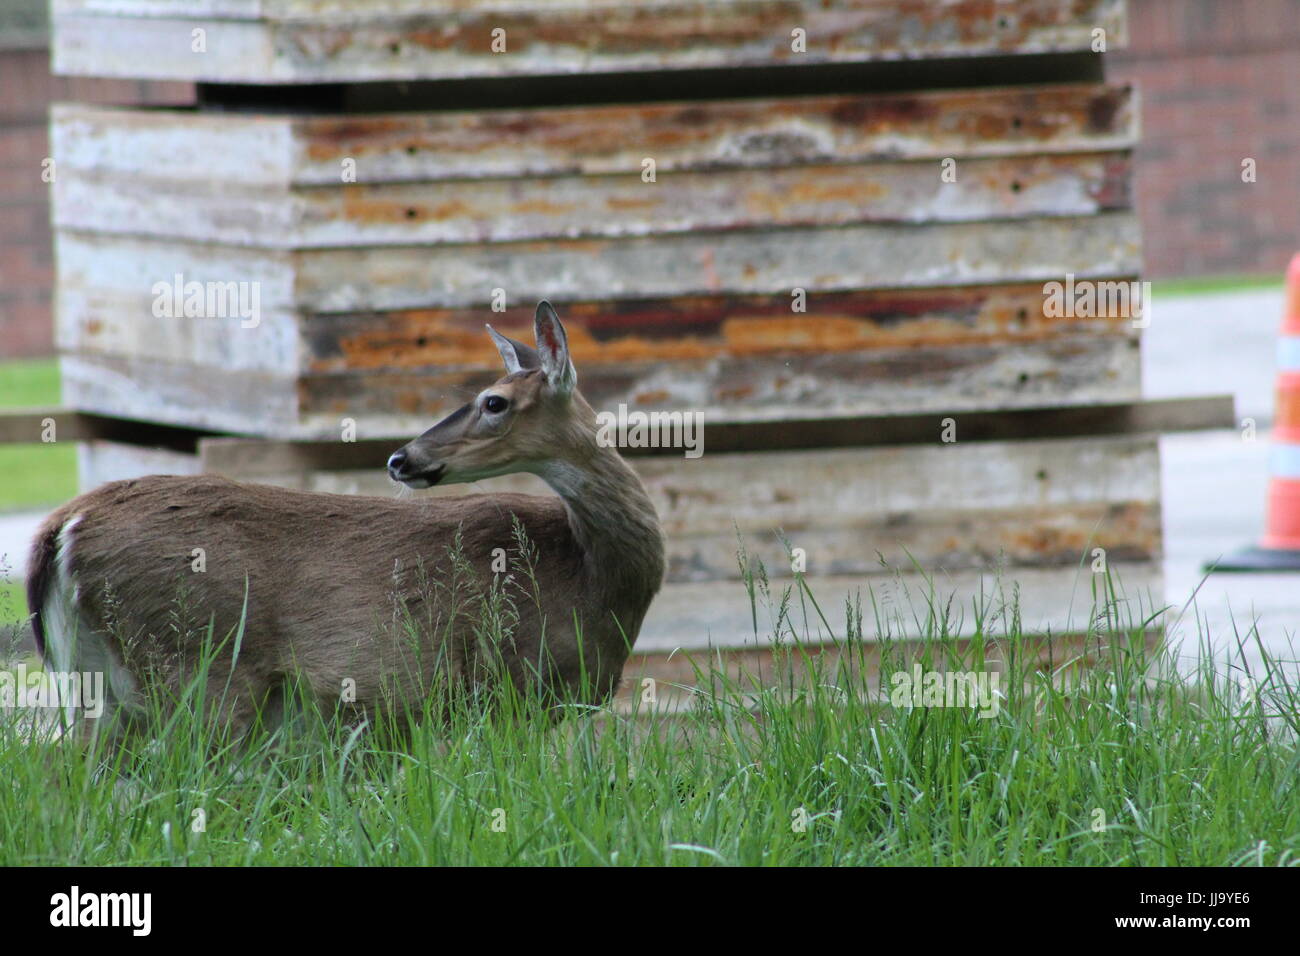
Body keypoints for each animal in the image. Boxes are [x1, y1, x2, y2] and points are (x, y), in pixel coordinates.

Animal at [26, 302, 666, 744]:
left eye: (493, 402)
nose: (400, 458)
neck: (591, 576)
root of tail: (61, 527)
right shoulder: (504, 686)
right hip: (195, 670)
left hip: (95, 684)